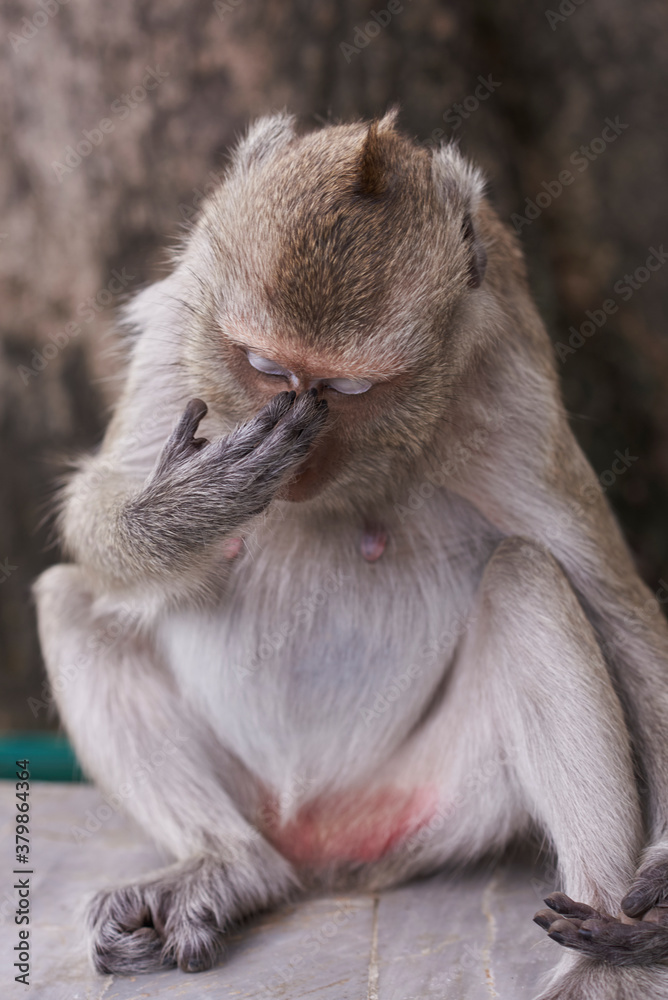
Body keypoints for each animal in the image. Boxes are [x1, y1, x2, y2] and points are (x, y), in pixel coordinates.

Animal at [33, 109, 668, 998]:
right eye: (265, 366)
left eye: (351, 390)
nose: (299, 455)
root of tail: (316, 844)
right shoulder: (184, 321)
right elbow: (96, 513)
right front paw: (182, 510)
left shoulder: (505, 376)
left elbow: (612, 606)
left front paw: (664, 886)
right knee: (66, 596)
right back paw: (227, 866)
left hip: (426, 802)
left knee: (526, 579)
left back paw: (603, 956)